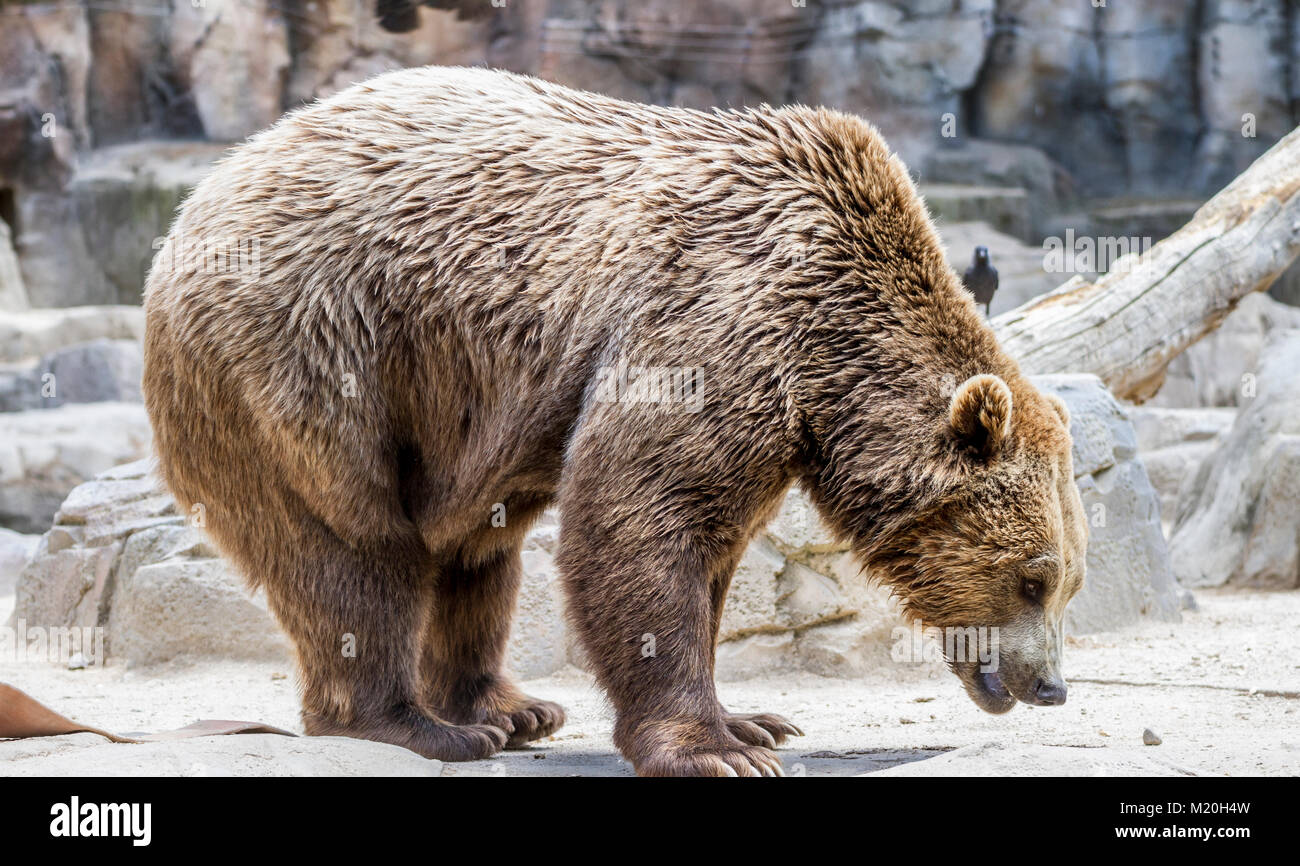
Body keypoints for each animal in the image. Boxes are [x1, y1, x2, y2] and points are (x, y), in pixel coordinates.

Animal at [142, 65, 1087, 777]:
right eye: (1032, 578)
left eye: (1069, 581)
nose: (1050, 686)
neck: (826, 347)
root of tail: (203, 195)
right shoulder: (718, 326)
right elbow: (643, 517)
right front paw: (716, 749)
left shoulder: (774, 416)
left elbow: (707, 549)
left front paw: (754, 722)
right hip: (309, 363)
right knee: (354, 550)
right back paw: (421, 726)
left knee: (479, 555)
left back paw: (513, 706)